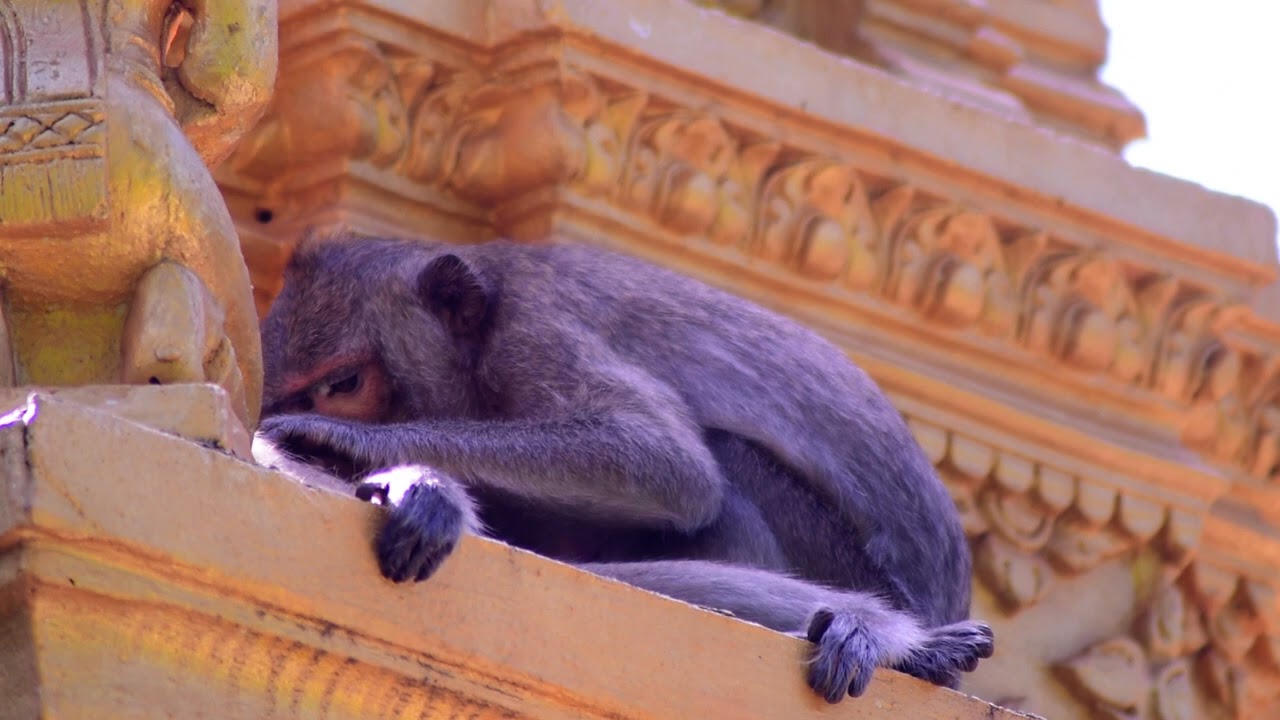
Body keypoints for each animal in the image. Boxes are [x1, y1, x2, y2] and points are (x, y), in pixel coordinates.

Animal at [256, 231, 994, 702]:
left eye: (343, 383)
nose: (293, 411)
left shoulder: (535, 335)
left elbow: (669, 464)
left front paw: (342, 442)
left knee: (725, 464)